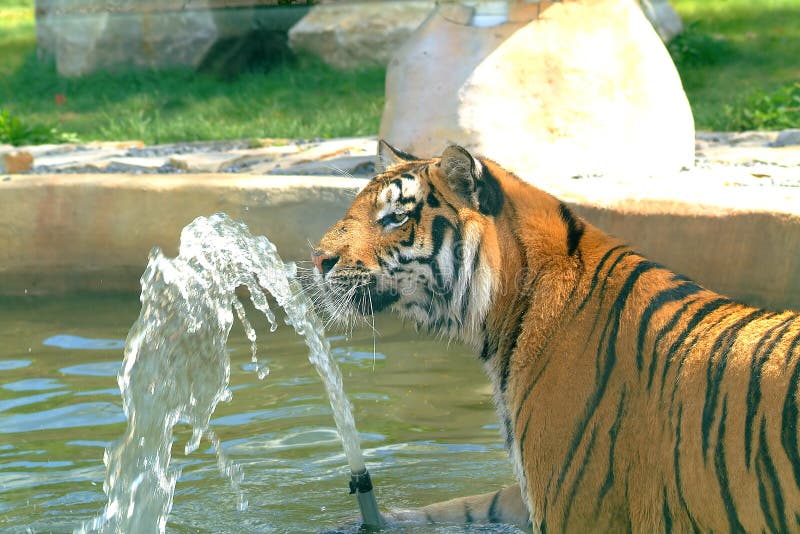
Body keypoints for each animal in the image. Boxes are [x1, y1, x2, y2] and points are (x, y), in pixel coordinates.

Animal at [310, 140, 800, 532]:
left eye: (395, 217)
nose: (317, 259)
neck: (505, 312)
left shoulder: (575, 507)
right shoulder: (528, 493)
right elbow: (461, 506)